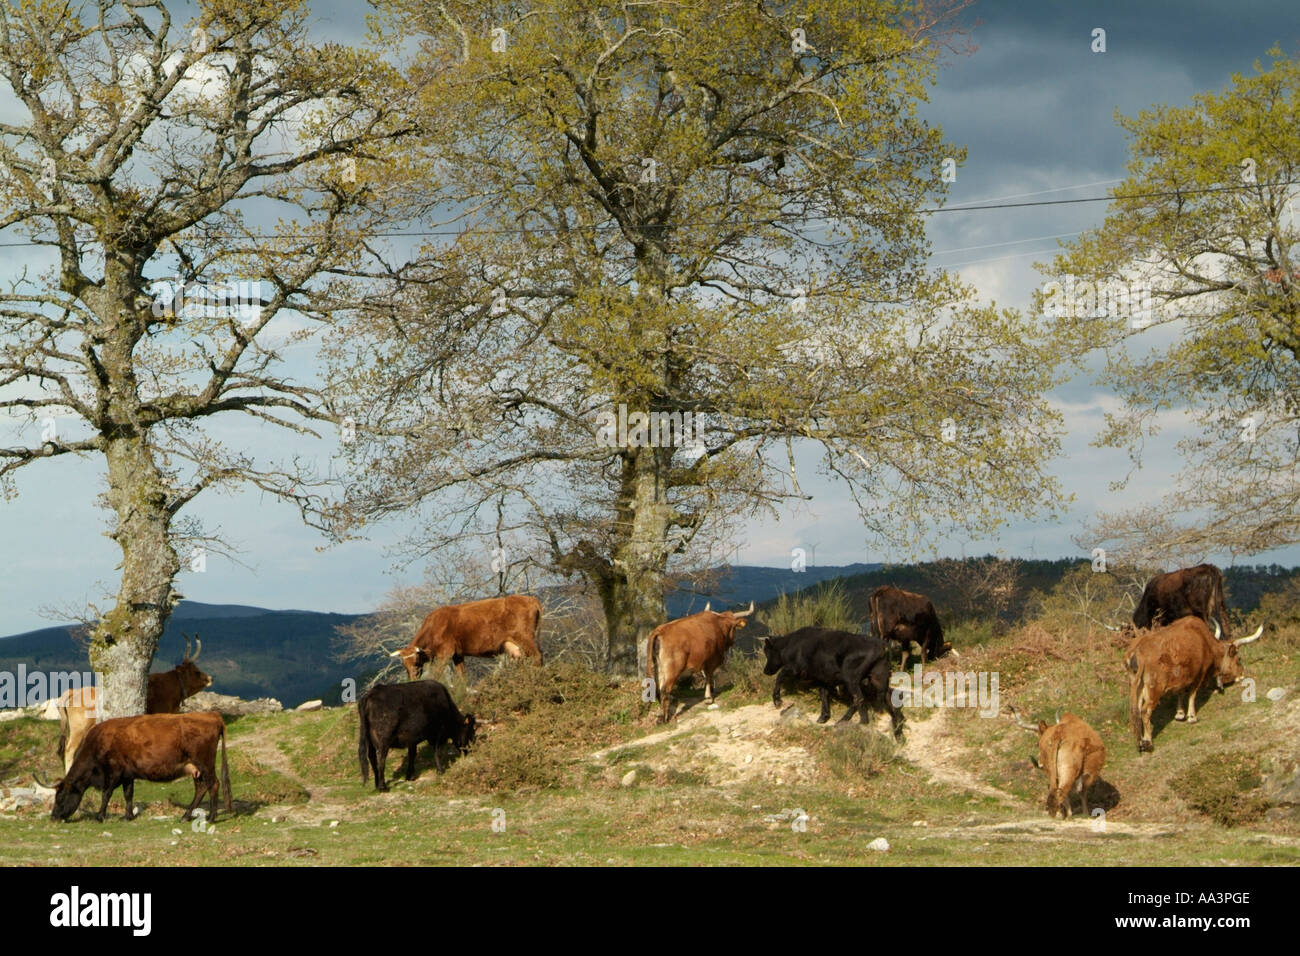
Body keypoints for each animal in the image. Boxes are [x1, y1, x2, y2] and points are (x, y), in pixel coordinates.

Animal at [47, 711, 232, 823]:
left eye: (60, 797)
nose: (53, 817)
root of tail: (212, 715)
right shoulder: (127, 774)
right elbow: (128, 794)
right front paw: (128, 816)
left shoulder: (114, 772)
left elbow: (107, 794)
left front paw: (100, 816)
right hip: (196, 768)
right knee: (201, 788)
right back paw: (185, 816)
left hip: (205, 763)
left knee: (213, 784)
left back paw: (211, 817)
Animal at [54, 634, 212, 772]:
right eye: (196, 671)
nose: (209, 678)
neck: (169, 686)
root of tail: (74, 691)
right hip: (79, 729)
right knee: (69, 749)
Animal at [390, 595, 543, 681]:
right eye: (404, 665)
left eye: (416, 662)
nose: (413, 678)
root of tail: (530, 599)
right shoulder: (458, 654)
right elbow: (462, 677)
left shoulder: (445, 652)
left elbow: (437, 674)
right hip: (515, 646)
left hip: (525, 637)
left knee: (537, 657)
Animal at [761, 627, 904, 735]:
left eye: (767, 652)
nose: (765, 670)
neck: (790, 644)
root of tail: (880, 645)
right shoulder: (825, 679)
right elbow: (823, 693)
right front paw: (823, 716)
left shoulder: (795, 669)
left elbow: (780, 676)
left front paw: (777, 700)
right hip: (878, 678)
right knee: (888, 696)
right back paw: (898, 730)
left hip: (851, 678)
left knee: (859, 698)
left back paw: (859, 722)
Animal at [1124, 617, 1260, 753]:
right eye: (1238, 659)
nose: (1242, 674)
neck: (1204, 640)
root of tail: (1137, 651)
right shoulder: (1199, 673)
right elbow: (1192, 694)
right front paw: (1192, 716)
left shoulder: (1183, 677)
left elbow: (1180, 692)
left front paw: (1180, 714)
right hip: (1154, 688)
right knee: (1145, 711)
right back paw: (1148, 742)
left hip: (1136, 687)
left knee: (1135, 711)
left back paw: (1140, 741)